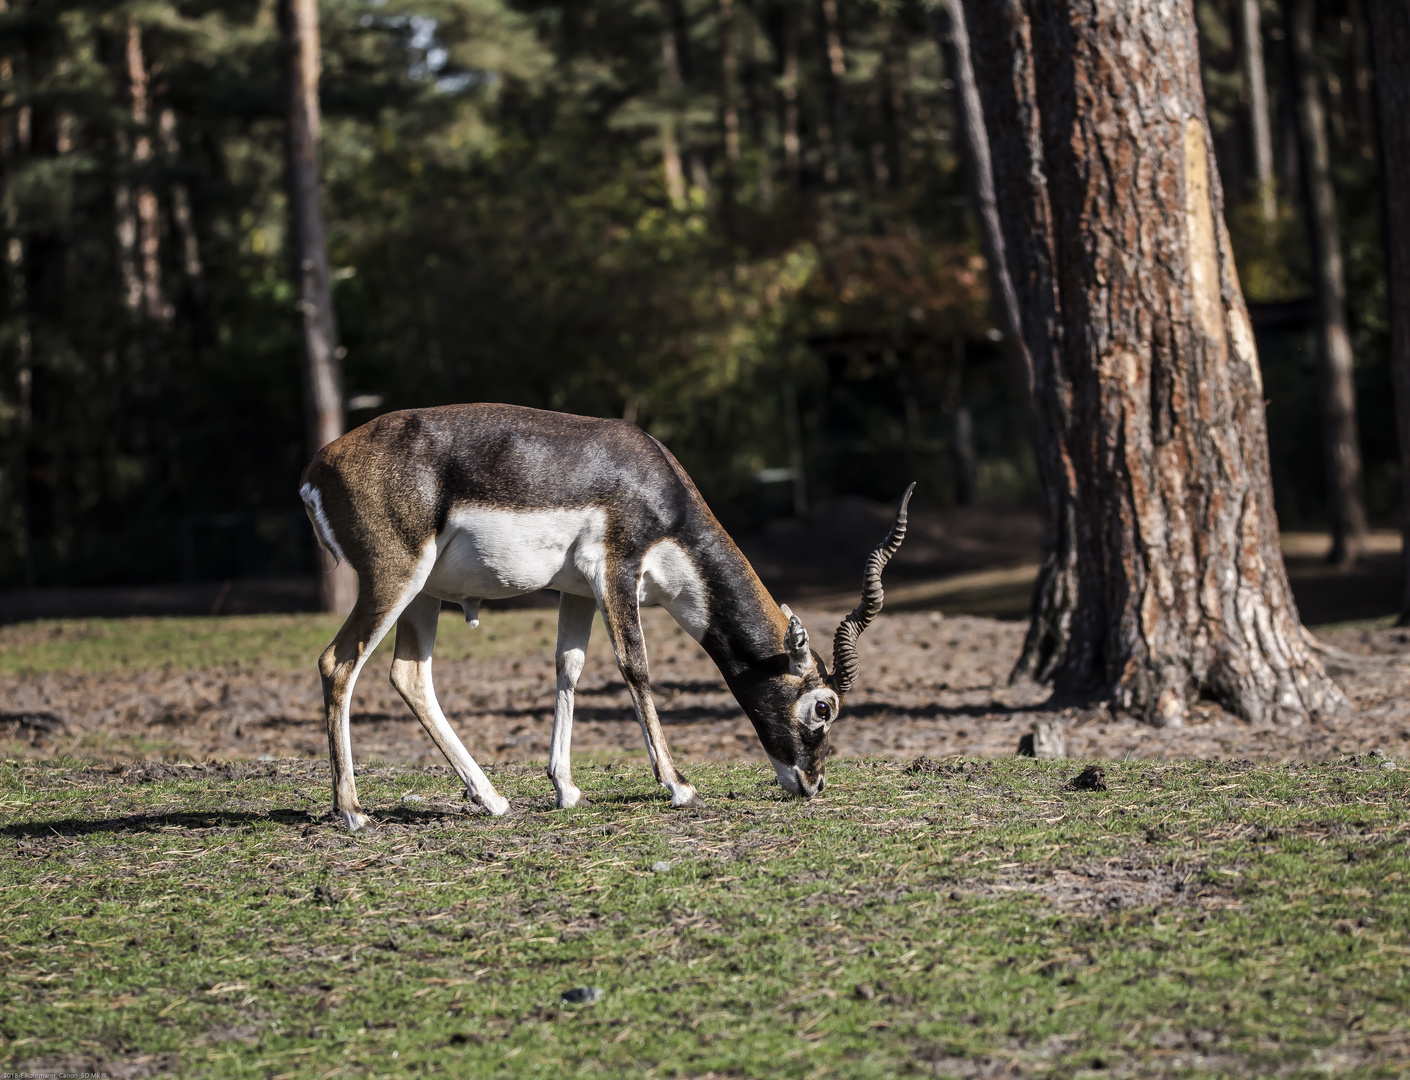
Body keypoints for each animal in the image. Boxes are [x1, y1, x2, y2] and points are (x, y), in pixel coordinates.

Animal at [298, 406, 913, 829]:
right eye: (823, 707)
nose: (812, 783)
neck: (655, 490)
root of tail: (318, 468)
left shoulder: (577, 591)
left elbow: (568, 668)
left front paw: (566, 790)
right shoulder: (616, 570)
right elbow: (634, 667)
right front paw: (679, 786)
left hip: (424, 594)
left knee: (408, 676)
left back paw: (492, 799)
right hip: (394, 580)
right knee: (337, 664)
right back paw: (353, 811)